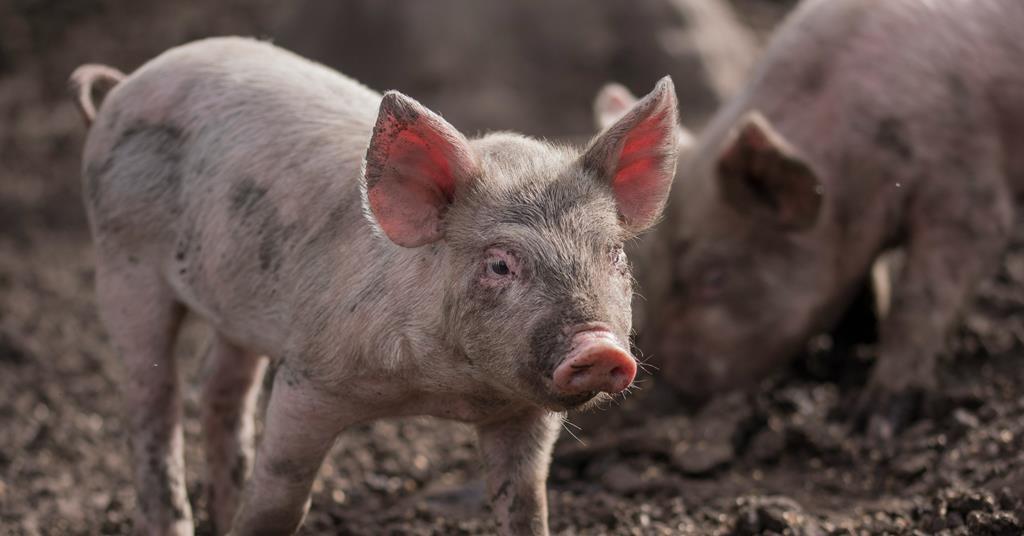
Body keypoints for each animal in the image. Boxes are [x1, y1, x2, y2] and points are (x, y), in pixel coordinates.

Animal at [71, 37, 679, 535]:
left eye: (615, 254)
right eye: (500, 265)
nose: (599, 347)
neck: (442, 391)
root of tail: (123, 84)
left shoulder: (524, 414)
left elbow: (527, 506)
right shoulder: (310, 374)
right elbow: (280, 499)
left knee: (221, 387)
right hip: (121, 261)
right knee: (154, 399)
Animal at [594, 0, 1024, 438]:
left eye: (714, 278)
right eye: (653, 268)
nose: (663, 394)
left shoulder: (965, 186)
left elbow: (922, 296)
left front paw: (870, 421)